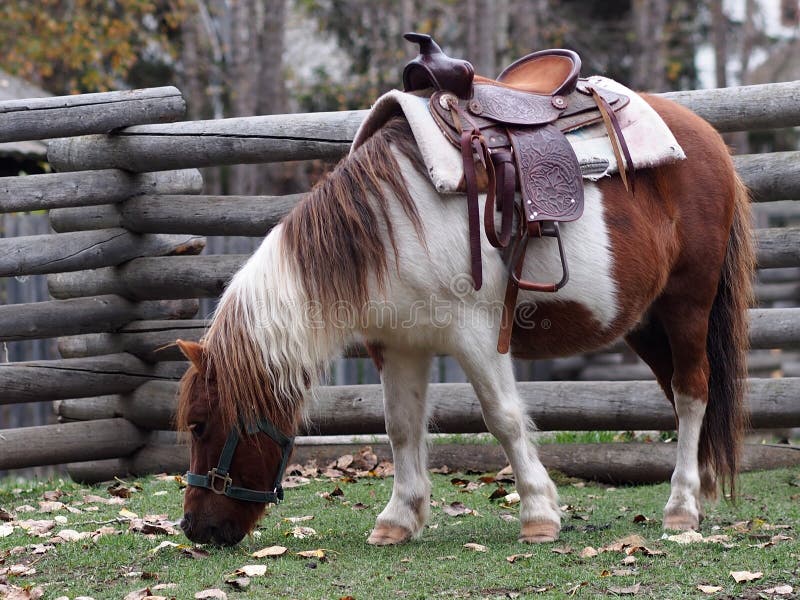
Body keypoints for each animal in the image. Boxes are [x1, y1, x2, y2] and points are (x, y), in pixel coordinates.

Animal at [175, 93, 753, 547]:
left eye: (200, 424)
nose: (194, 529)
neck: (392, 223)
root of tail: (710, 141)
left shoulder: (476, 335)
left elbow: (504, 418)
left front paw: (539, 514)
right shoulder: (399, 344)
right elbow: (402, 427)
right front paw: (398, 519)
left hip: (687, 305)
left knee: (692, 392)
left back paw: (681, 508)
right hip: (647, 323)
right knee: (679, 394)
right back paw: (698, 493)